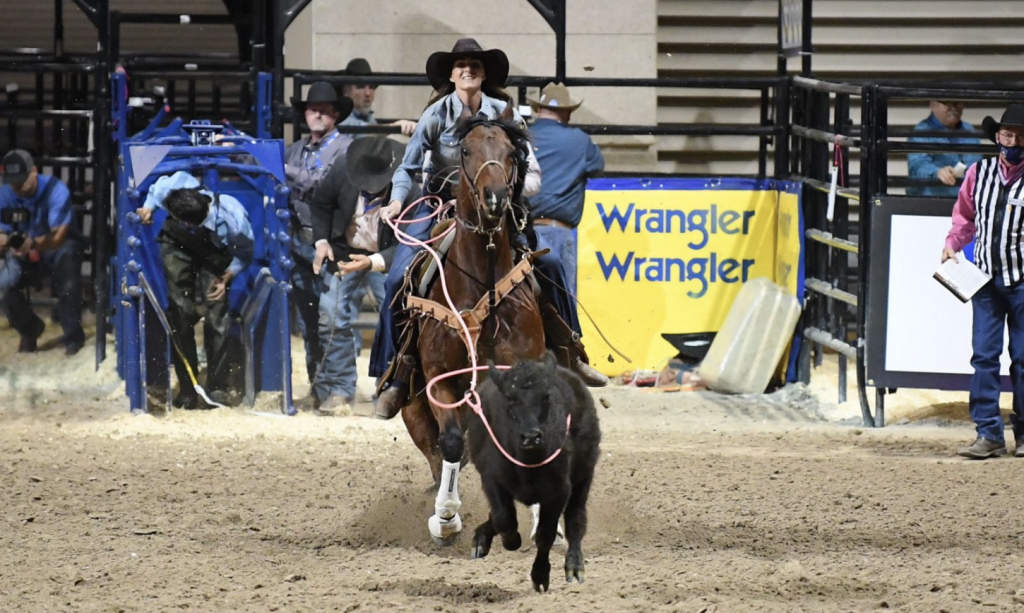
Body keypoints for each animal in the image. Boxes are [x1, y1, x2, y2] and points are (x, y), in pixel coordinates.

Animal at [467, 351, 602, 592]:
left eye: (546, 396)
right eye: (510, 399)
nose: (531, 437)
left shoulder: (559, 490)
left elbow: (545, 534)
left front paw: (540, 576)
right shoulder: (491, 478)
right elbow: (503, 518)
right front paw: (509, 541)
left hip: (584, 475)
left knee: (576, 519)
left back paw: (575, 566)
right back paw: (481, 541)